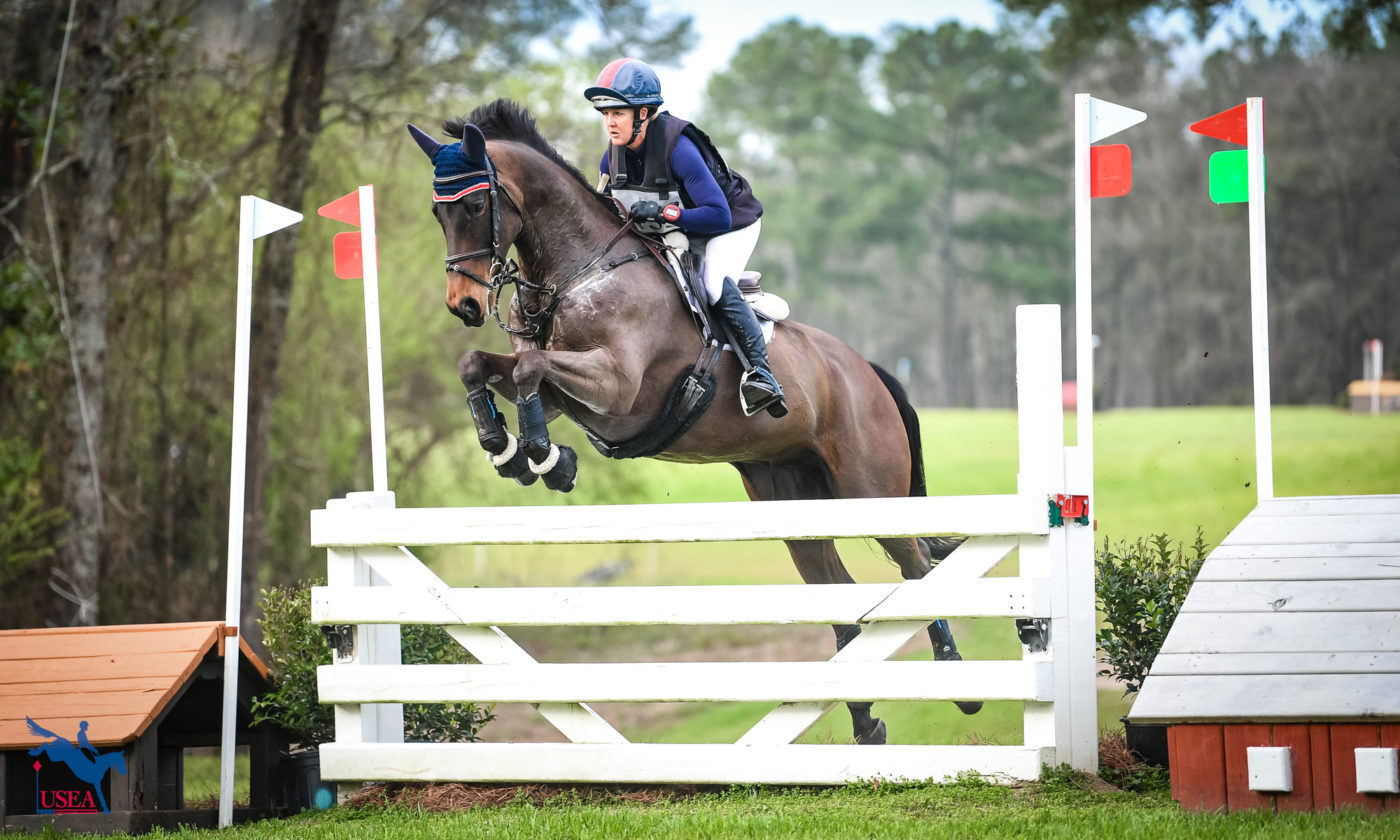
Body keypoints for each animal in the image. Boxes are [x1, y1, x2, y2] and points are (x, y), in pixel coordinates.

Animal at [408, 99, 979, 744]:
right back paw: (865, 721)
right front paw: (510, 450)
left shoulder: (617, 387)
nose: (464, 306)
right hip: (794, 500)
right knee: (838, 592)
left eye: (477, 205)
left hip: (870, 492)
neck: (579, 271)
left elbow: (530, 368)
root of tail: (869, 372)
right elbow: (479, 365)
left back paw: (959, 683)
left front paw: (544, 459)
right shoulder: (567, 394)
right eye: (437, 211)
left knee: (918, 565)